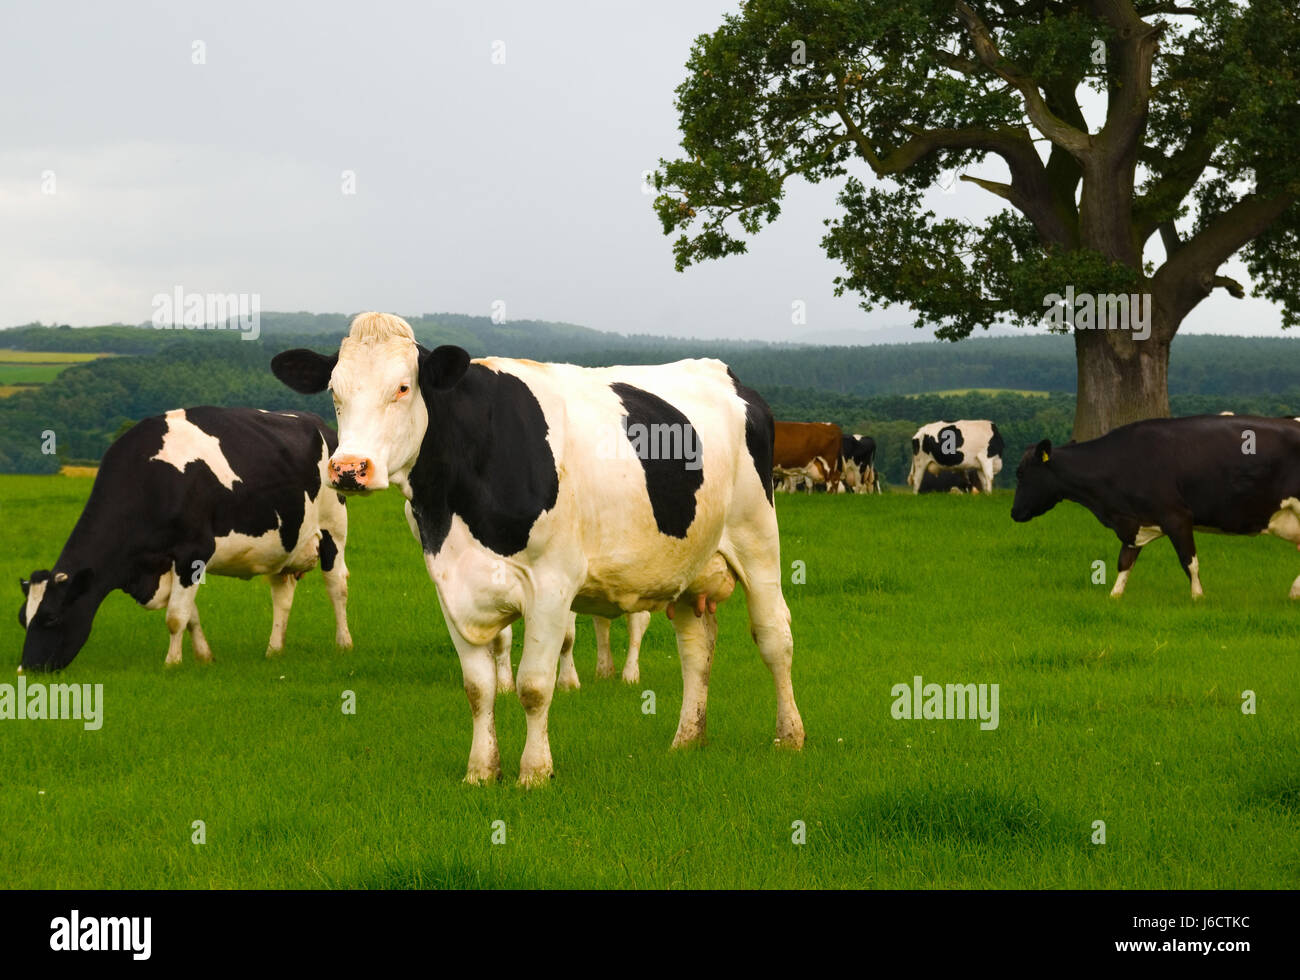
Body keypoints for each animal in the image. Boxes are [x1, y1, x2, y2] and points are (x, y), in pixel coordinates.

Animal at [18, 407, 352, 672]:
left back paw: (343, 644)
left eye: (50, 618)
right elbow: (190, 614)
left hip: (333, 528)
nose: (27, 670)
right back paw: (273, 650)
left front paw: (172, 664)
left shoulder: (193, 552)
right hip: (284, 545)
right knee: (282, 595)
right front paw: (204, 657)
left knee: (337, 585)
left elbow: (176, 616)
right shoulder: (168, 563)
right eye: (23, 618)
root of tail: (314, 421)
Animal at [271, 312, 804, 786]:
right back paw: (687, 739)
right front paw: (481, 771)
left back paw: (789, 737)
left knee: (774, 635)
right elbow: (478, 688)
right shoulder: (449, 584)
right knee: (696, 649)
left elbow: (532, 685)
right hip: (690, 569)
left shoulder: (551, 584)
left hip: (758, 538)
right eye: (335, 392)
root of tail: (723, 371)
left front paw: (534, 772)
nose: (348, 469)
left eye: (403, 388)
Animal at [1011, 415, 1300, 600]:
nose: (1014, 513)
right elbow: (1124, 563)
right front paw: (1114, 595)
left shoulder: (1177, 516)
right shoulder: (1133, 522)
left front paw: (1198, 596)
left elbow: (1189, 561)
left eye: (1021, 473)